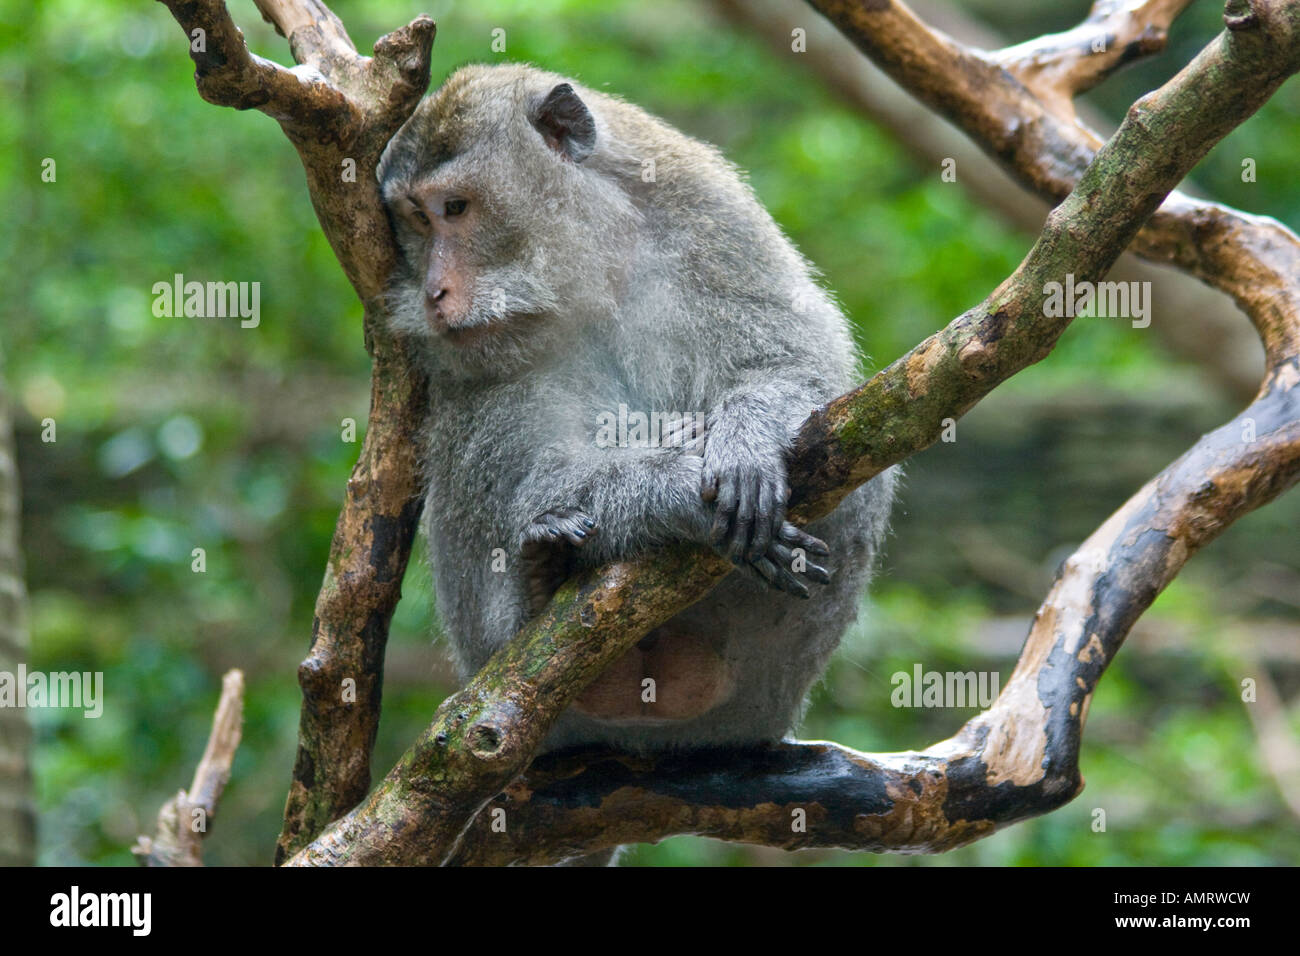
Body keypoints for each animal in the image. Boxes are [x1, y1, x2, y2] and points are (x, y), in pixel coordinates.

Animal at [378, 63, 897, 757]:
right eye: (414, 220)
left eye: (455, 209)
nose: (434, 292)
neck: (585, 269)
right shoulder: (473, 361)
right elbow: (536, 473)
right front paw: (671, 486)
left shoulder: (708, 221)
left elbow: (797, 365)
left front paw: (745, 443)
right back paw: (542, 584)